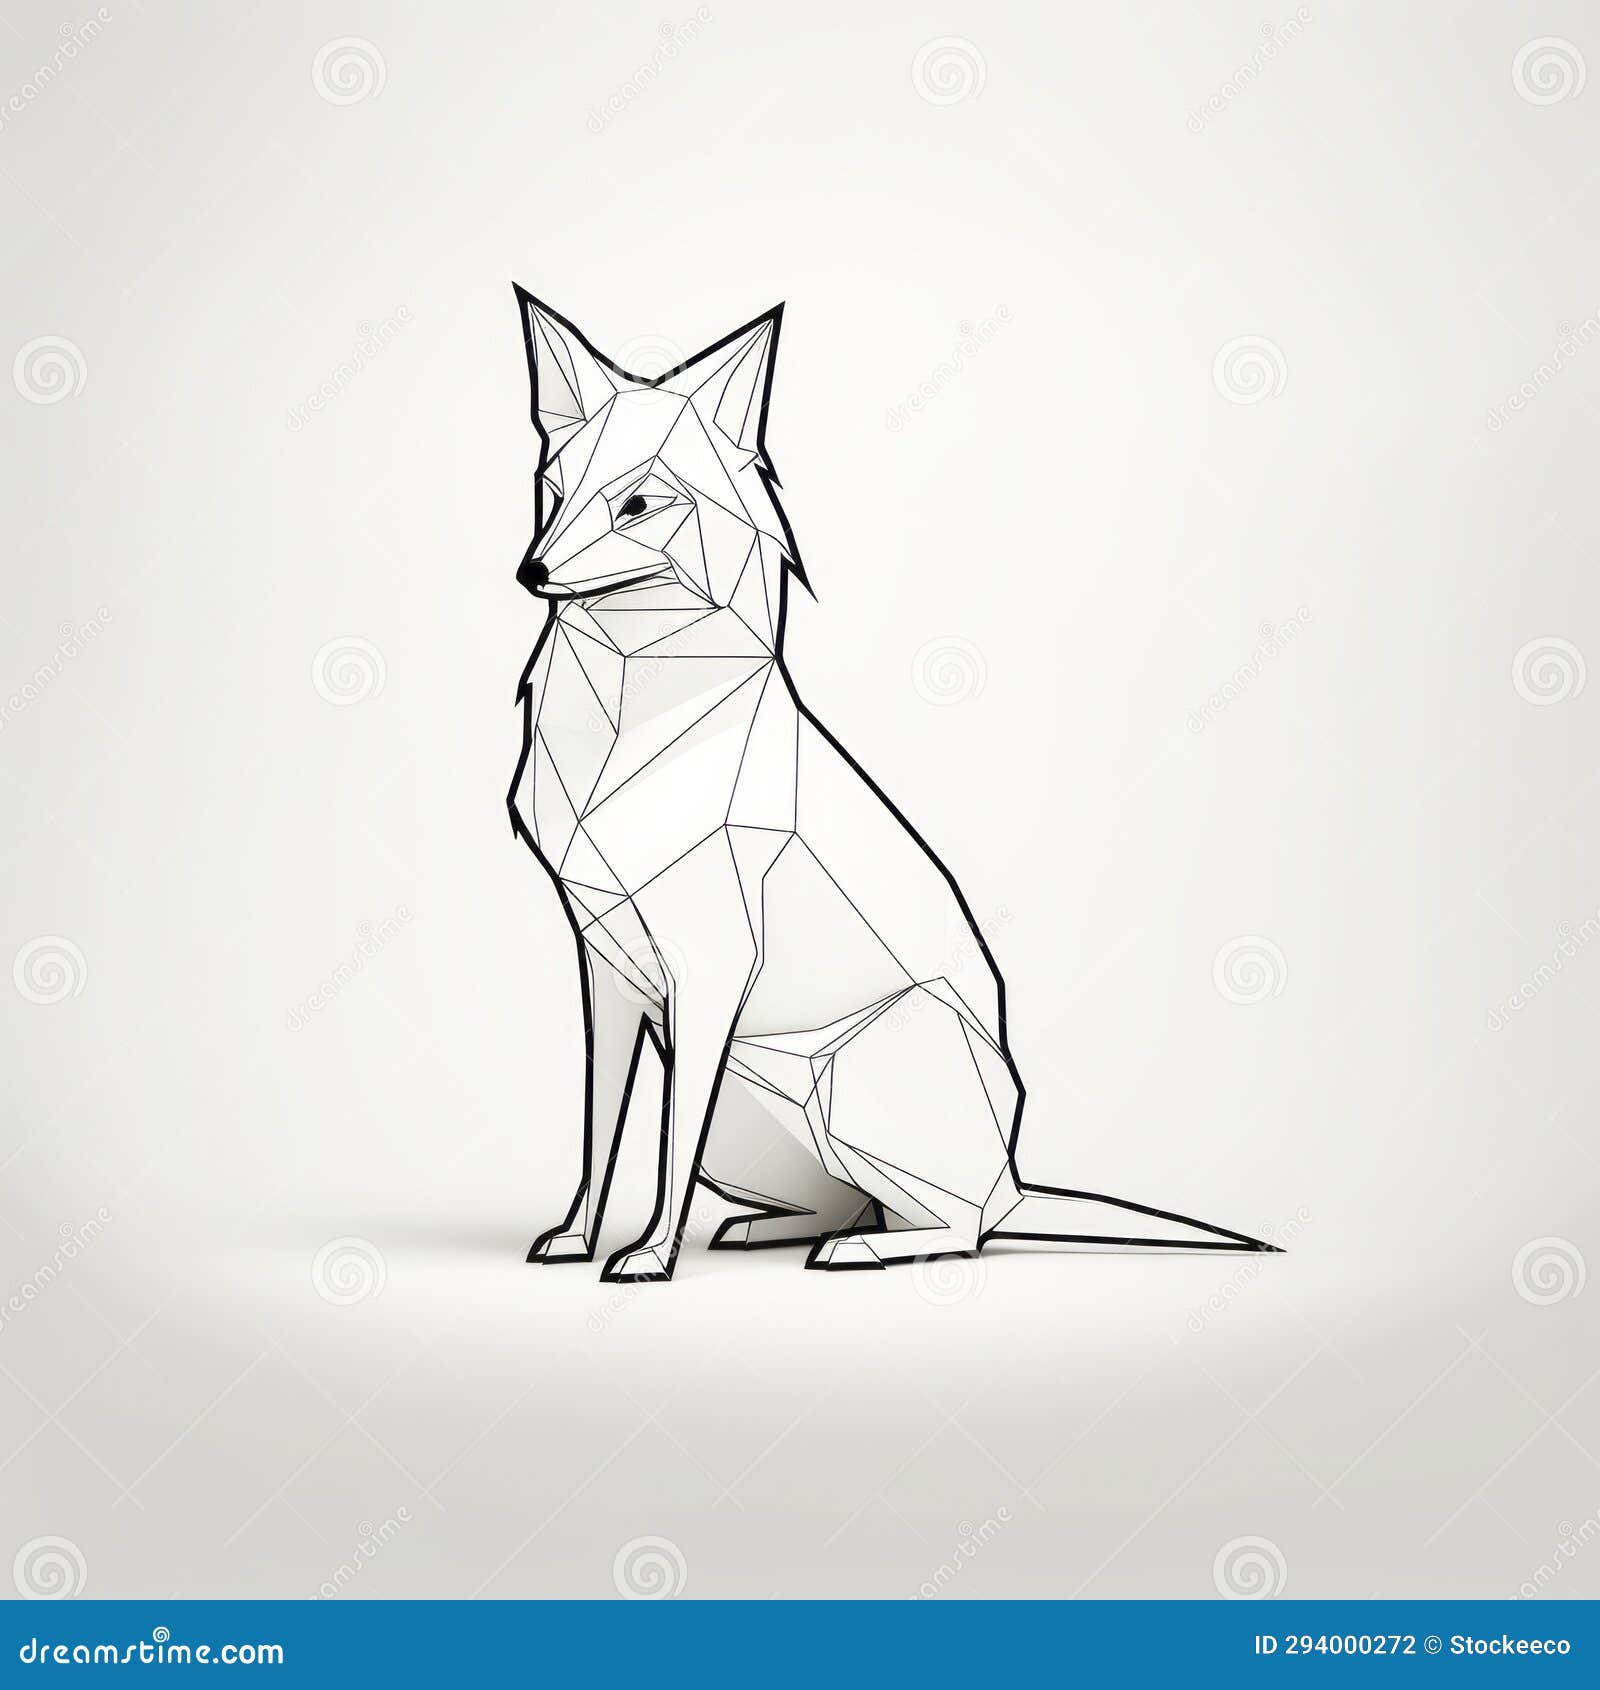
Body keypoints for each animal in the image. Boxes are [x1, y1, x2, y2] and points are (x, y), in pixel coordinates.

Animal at [507, 289, 1278, 1282]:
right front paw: (577, 1238)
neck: (631, 710)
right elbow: (601, 1125)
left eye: (638, 504)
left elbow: (665, 1148)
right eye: (556, 492)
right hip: (746, 1098)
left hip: (854, 1066)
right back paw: (777, 1229)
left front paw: (647, 1258)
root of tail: (1014, 1179)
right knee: (857, 1197)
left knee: (956, 1226)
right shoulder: (608, 966)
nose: (530, 571)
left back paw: (864, 1249)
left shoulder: (709, 964)